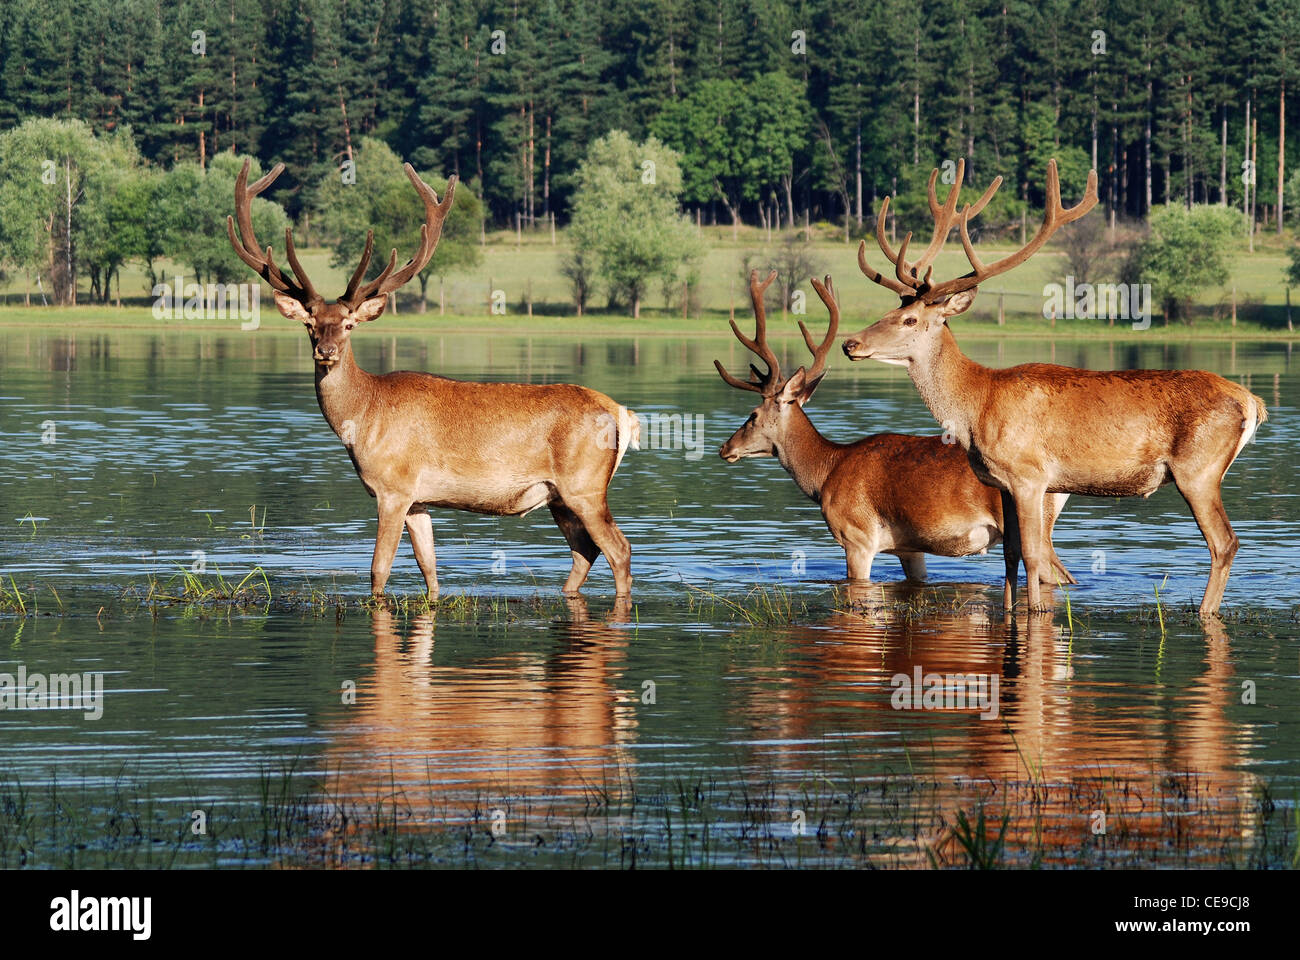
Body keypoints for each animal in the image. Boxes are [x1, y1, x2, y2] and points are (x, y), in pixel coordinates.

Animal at [227, 159, 638, 598]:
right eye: (310, 324)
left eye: (350, 325)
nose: (326, 350)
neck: (365, 415)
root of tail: (621, 412)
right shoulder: (420, 501)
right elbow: (429, 568)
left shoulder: (394, 488)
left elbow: (379, 569)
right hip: (559, 496)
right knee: (585, 551)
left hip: (585, 485)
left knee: (618, 548)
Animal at [841, 158, 1267, 618]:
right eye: (889, 311)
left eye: (910, 320)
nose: (851, 343)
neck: (976, 406)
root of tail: (1251, 401)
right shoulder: (1002, 484)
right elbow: (1009, 554)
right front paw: (1010, 611)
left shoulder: (1030, 475)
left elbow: (1032, 555)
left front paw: (1035, 612)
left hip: (1199, 469)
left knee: (1224, 543)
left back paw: (1205, 612)